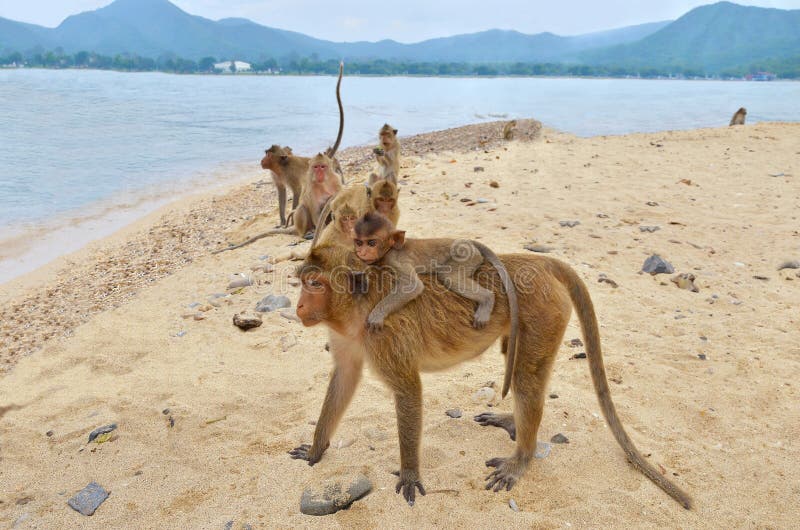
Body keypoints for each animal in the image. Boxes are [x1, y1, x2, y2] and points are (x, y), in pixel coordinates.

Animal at [289, 244, 693, 510]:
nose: (298, 305)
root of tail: (536, 260)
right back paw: (513, 421)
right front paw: (317, 449)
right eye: (305, 282)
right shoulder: (346, 336)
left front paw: (410, 474)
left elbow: (408, 391)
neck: (357, 307)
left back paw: (522, 457)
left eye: (315, 283)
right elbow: (345, 377)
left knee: (527, 377)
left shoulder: (383, 335)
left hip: (543, 312)